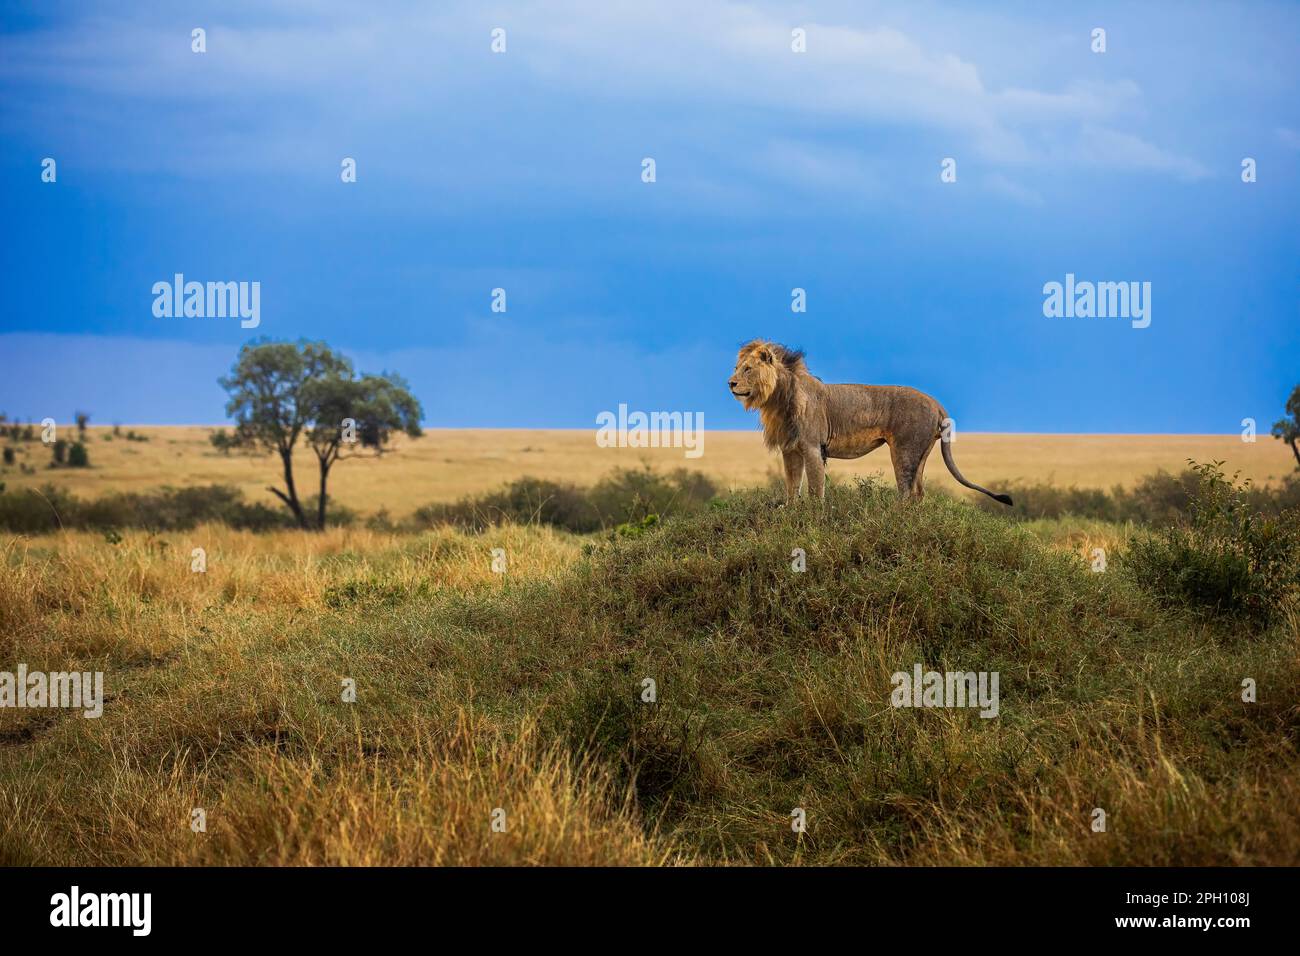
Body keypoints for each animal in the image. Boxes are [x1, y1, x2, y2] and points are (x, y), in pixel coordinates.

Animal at [728, 340, 1013, 506]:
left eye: (747, 369)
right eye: (736, 367)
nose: (730, 383)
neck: (777, 398)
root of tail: (936, 403)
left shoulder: (812, 447)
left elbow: (815, 489)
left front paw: (813, 520)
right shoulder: (791, 450)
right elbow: (791, 487)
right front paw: (790, 515)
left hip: (904, 450)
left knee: (906, 492)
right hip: (921, 452)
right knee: (919, 493)